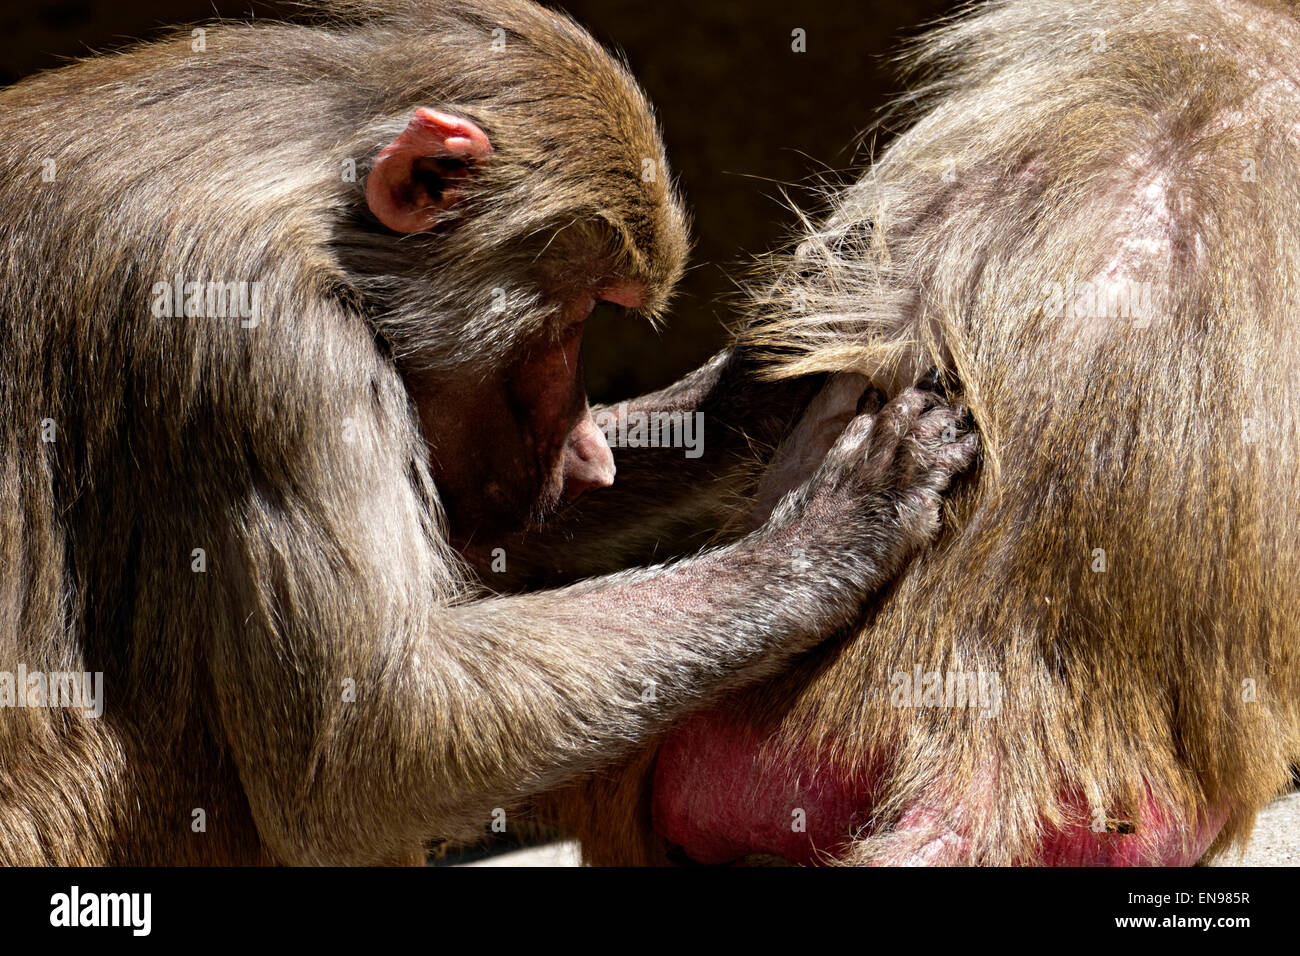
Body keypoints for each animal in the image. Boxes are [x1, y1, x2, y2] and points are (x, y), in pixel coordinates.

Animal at [0, 0, 977, 865]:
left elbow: (484, 547)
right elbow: (366, 748)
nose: (589, 457)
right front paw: (833, 529)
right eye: (574, 320)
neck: (302, 185)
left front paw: (773, 370)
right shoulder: (267, 348)